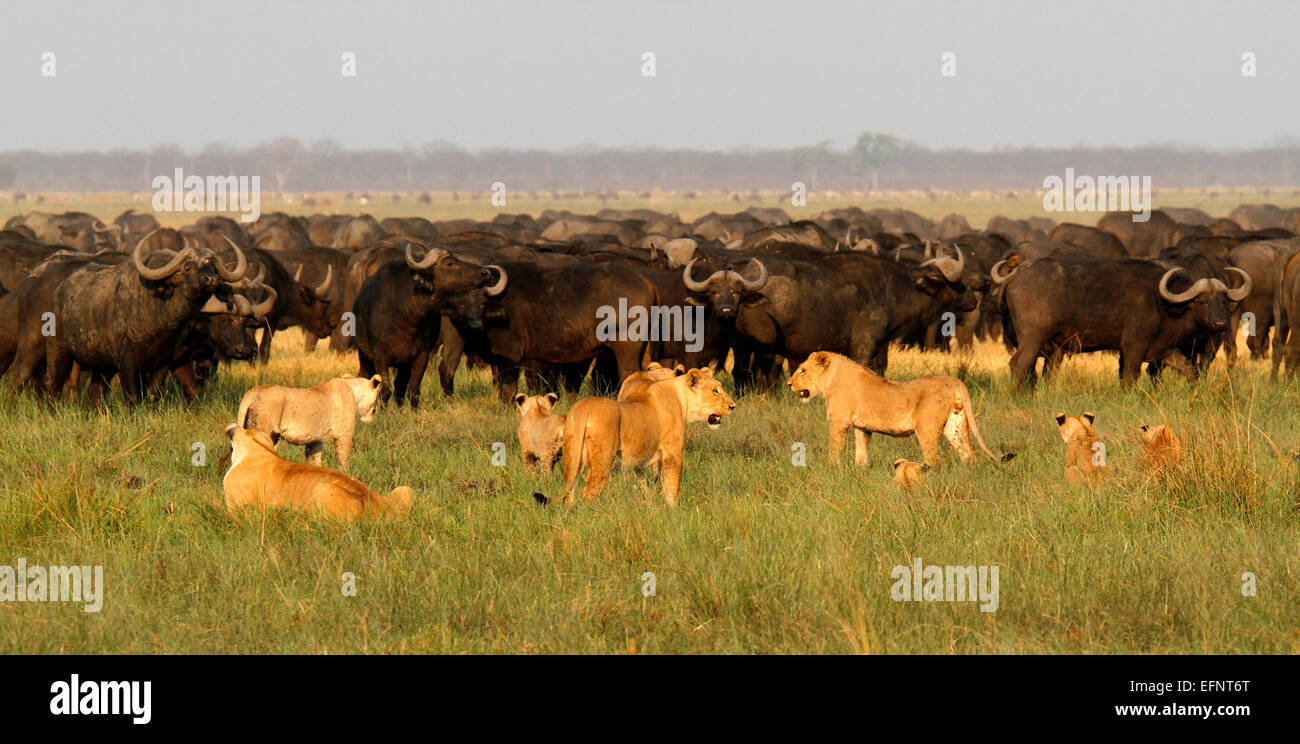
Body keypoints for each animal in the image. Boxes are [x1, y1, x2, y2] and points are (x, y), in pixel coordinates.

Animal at [236, 375, 382, 471]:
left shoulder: (315, 439)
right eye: (377, 396)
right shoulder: (343, 434)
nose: (376, 410)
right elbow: (343, 459)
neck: (352, 389)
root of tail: (252, 393)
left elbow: (314, 460)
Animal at [556, 367, 735, 507]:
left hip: (572, 458)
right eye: (715, 391)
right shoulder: (673, 453)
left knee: (569, 492)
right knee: (588, 492)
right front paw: (673, 512)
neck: (682, 400)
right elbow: (672, 486)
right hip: (603, 459)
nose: (733, 406)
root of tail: (582, 408)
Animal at [786, 351, 1011, 468]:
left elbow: (835, 449)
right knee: (968, 455)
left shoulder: (839, 422)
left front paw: (832, 469)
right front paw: (860, 472)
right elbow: (862, 453)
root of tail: (953, 380)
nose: (788, 384)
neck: (830, 380)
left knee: (936, 460)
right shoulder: (862, 427)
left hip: (926, 429)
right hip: (955, 424)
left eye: (803, 370)